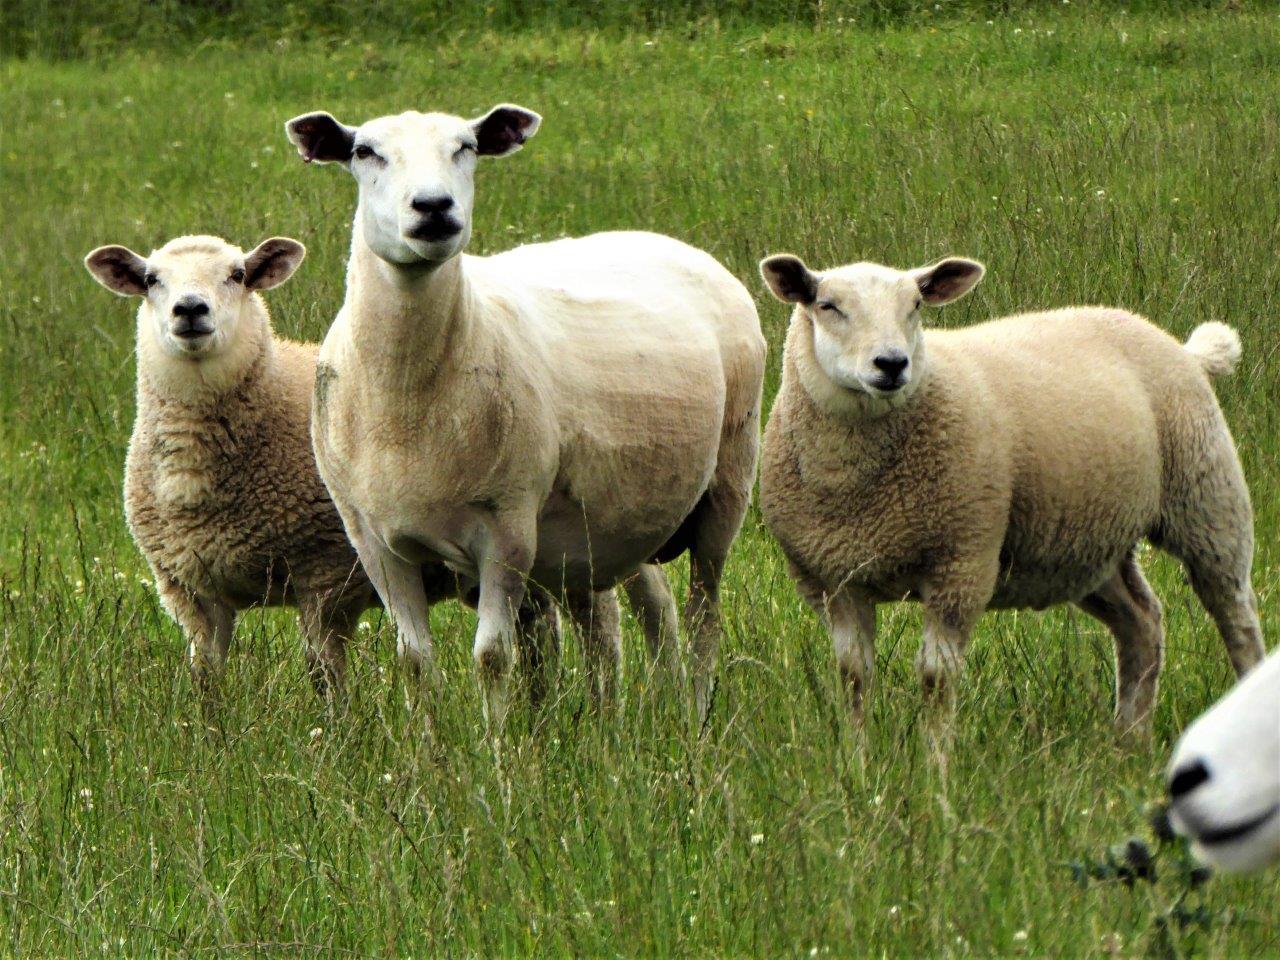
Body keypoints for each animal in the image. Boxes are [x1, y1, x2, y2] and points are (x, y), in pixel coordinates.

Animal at [285, 105, 766, 728]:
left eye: (466, 147)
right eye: (365, 151)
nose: (434, 206)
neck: (407, 403)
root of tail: (674, 244)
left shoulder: (508, 529)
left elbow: (492, 658)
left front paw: (495, 751)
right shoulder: (374, 541)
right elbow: (414, 663)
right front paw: (427, 752)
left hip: (727, 482)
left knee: (705, 612)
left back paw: (696, 717)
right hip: (621, 515)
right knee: (653, 606)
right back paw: (648, 714)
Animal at [757, 252, 1263, 739]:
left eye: (915, 305)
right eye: (828, 306)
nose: (893, 363)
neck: (857, 487)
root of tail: (1184, 349)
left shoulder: (961, 565)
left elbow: (936, 680)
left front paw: (935, 765)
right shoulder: (833, 579)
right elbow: (853, 678)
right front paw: (858, 761)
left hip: (1207, 500)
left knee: (1237, 618)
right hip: (1085, 545)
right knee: (1141, 623)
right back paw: (1129, 742)